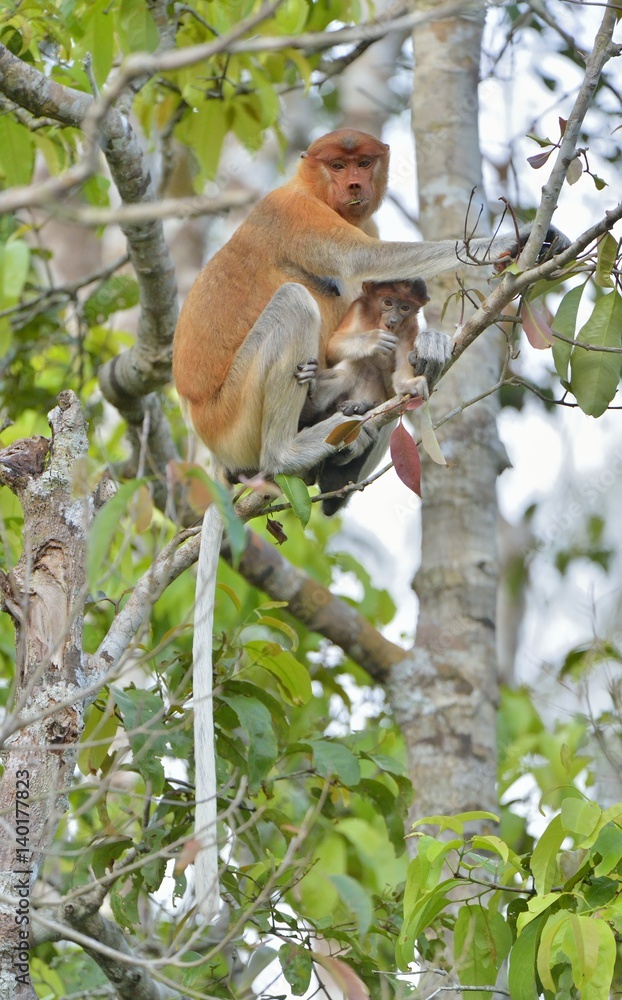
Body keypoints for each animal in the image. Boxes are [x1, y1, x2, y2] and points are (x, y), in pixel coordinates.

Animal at [172, 128, 569, 919]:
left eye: (364, 162)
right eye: (336, 161)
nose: (354, 186)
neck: (308, 188)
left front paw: (451, 322)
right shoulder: (296, 214)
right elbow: (362, 264)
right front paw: (521, 246)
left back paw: (349, 460)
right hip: (236, 412)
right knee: (297, 300)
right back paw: (293, 452)